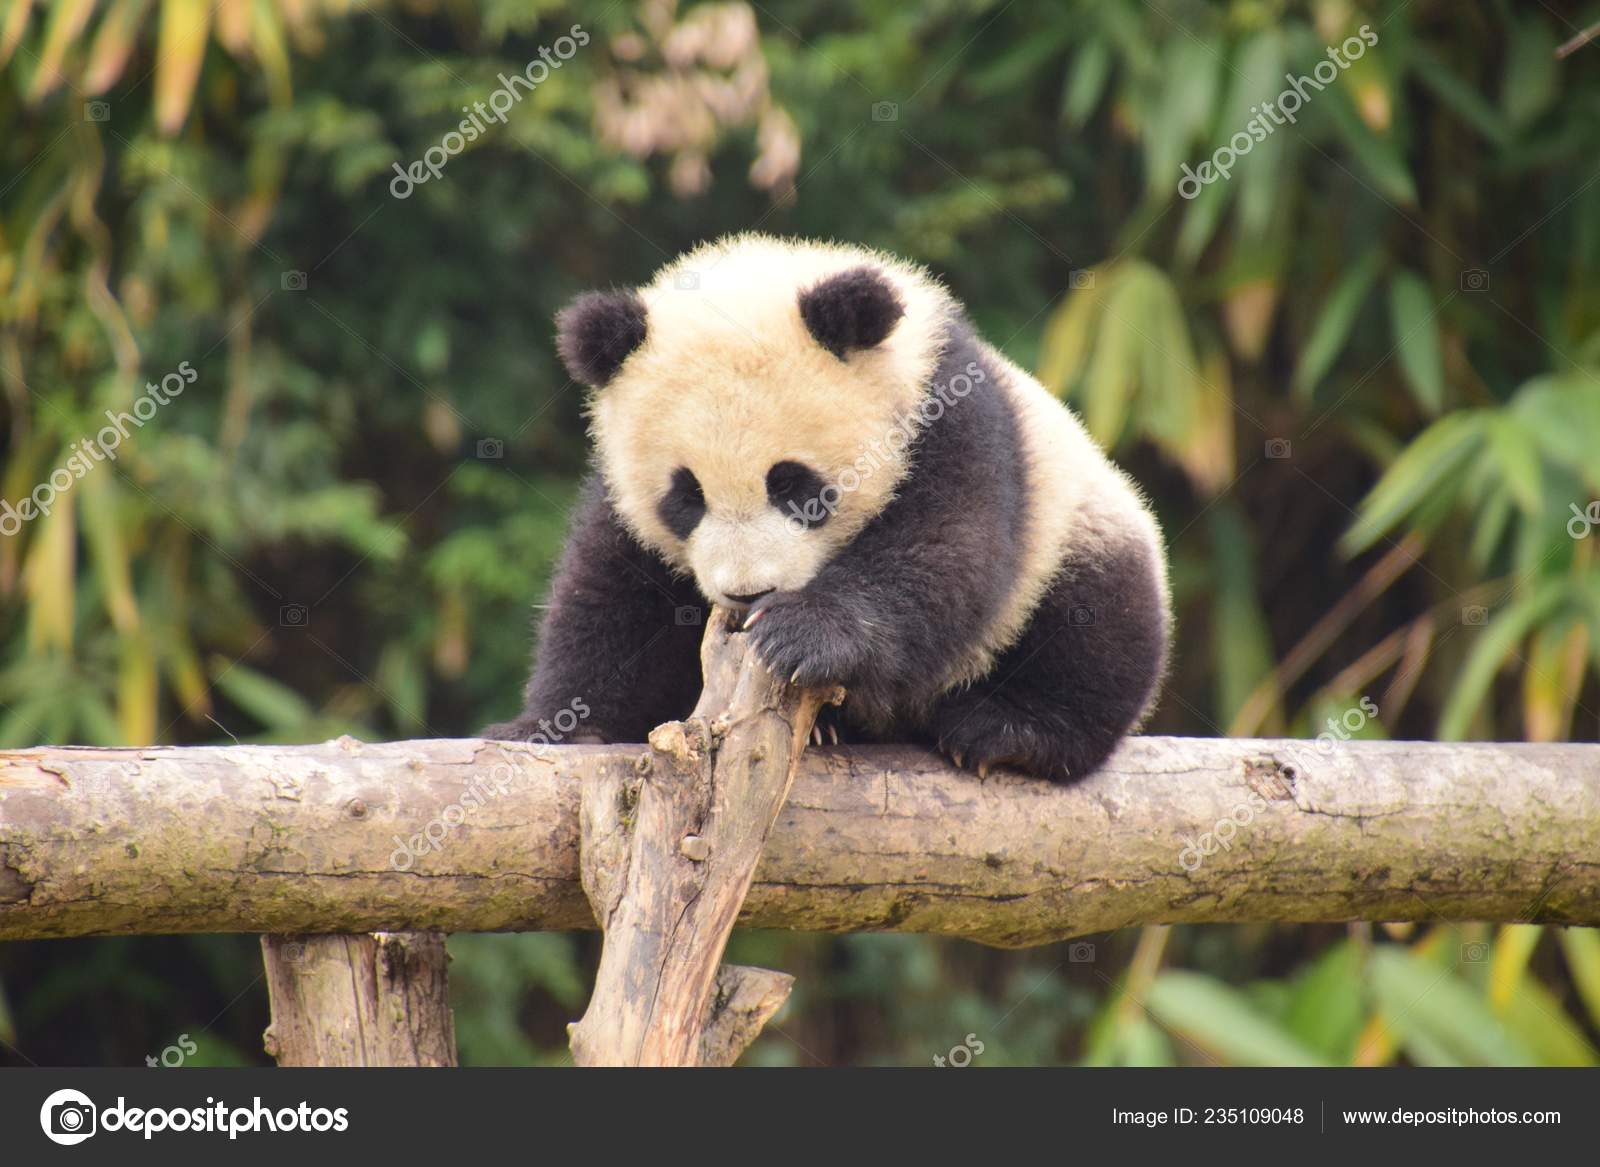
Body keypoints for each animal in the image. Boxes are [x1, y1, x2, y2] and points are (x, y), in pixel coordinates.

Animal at [486, 234, 1170, 783]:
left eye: (795, 486)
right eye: (686, 497)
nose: (748, 593)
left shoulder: (952, 413)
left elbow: (950, 550)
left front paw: (802, 635)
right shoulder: (623, 500)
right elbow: (610, 597)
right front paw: (553, 725)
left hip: (1080, 518)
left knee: (1096, 629)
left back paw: (1007, 732)